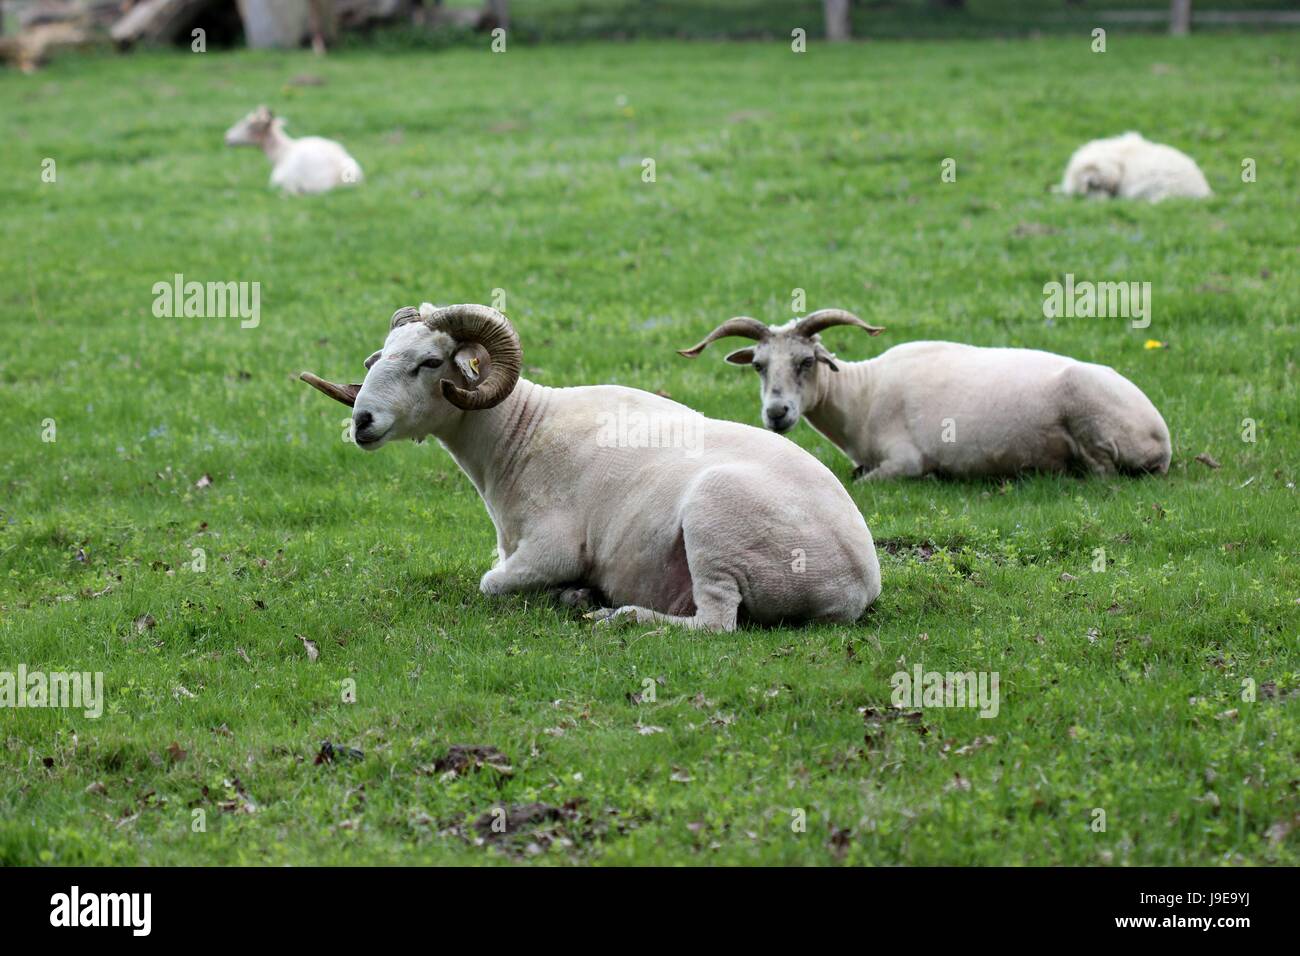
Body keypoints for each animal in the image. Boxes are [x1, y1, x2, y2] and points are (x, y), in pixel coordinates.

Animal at [300, 303, 881, 631]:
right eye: (380, 356)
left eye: (430, 362)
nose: (362, 421)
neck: (519, 434)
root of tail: (856, 584)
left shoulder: (551, 550)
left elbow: (490, 584)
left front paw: (575, 593)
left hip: (716, 524)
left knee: (717, 623)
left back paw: (617, 616)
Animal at [678, 309, 1172, 481]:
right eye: (759, 365)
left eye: (806, 362)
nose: (777, 413)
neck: (861, 396)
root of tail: (1161, 435)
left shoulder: (905, 460)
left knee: (1102, 470)